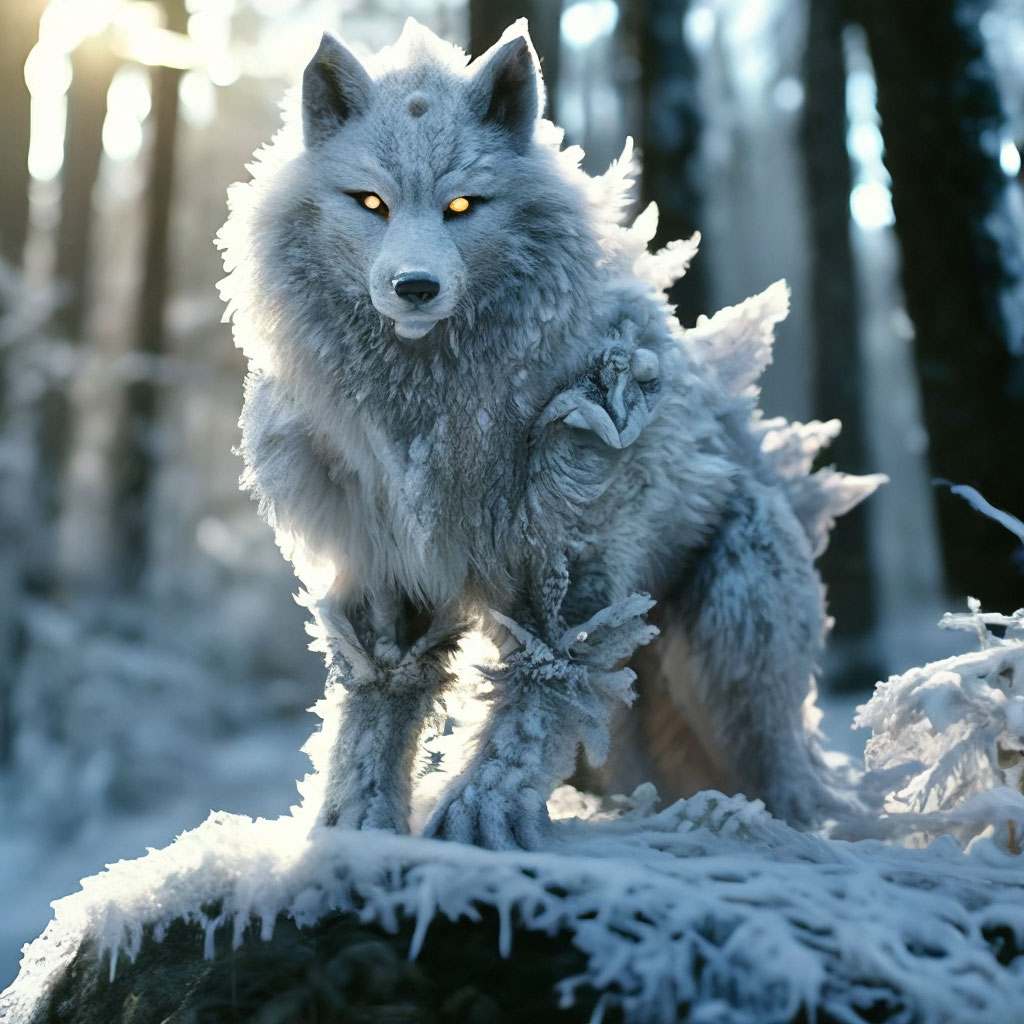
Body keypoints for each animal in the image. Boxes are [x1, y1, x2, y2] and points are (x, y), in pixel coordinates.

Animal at [217, 19, 884, 848]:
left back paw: (750, 821)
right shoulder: (382, 565)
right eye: (370, 201)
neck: (430, 410)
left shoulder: (569, 569)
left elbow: (536, 696)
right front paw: (354, 823)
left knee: (787, 788)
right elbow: (380, 702)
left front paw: (482, 816)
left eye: (463, 204)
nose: (415, 287)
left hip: (730, 642)